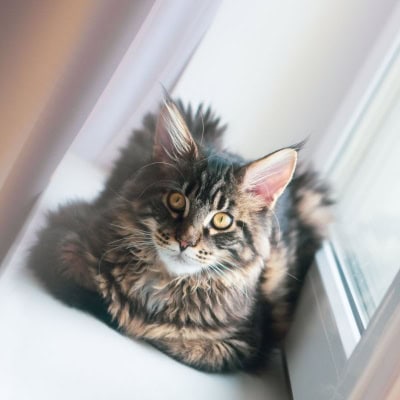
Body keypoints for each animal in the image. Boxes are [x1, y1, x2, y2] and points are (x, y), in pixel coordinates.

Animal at [29, 98, 332, 374]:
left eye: (222, 220)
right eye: (176, 200)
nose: (185, 241)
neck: (165, 285)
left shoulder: (248, 340)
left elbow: (186, 345)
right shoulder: (64, 236)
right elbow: (99, 296)